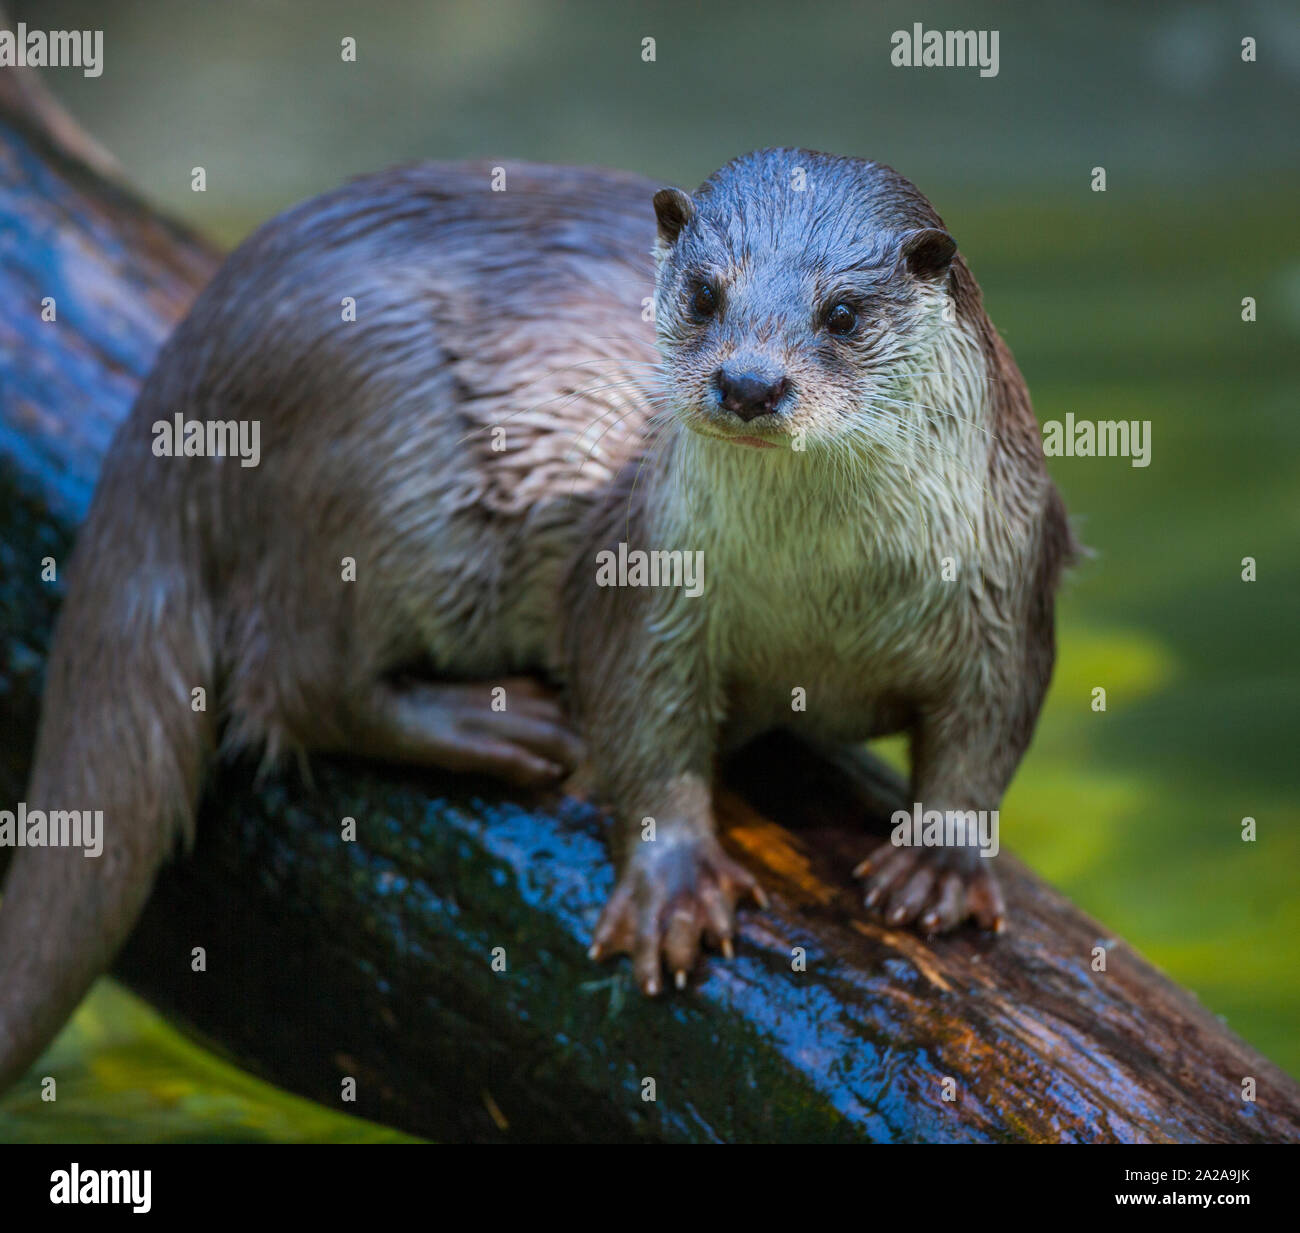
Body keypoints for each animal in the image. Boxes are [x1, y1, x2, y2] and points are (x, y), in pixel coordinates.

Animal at [0, 149, 1075, 1088]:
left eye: (843, 312)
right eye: (704, 295)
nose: (748, 383)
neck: (829, 592)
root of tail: (193, 358)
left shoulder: (1010, 576)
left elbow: (991, 726)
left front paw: (939, 858)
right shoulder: (641, 577)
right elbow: (638, 714)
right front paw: (673, 881)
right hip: (381, 459)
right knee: (298, 680)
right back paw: (497, 724)